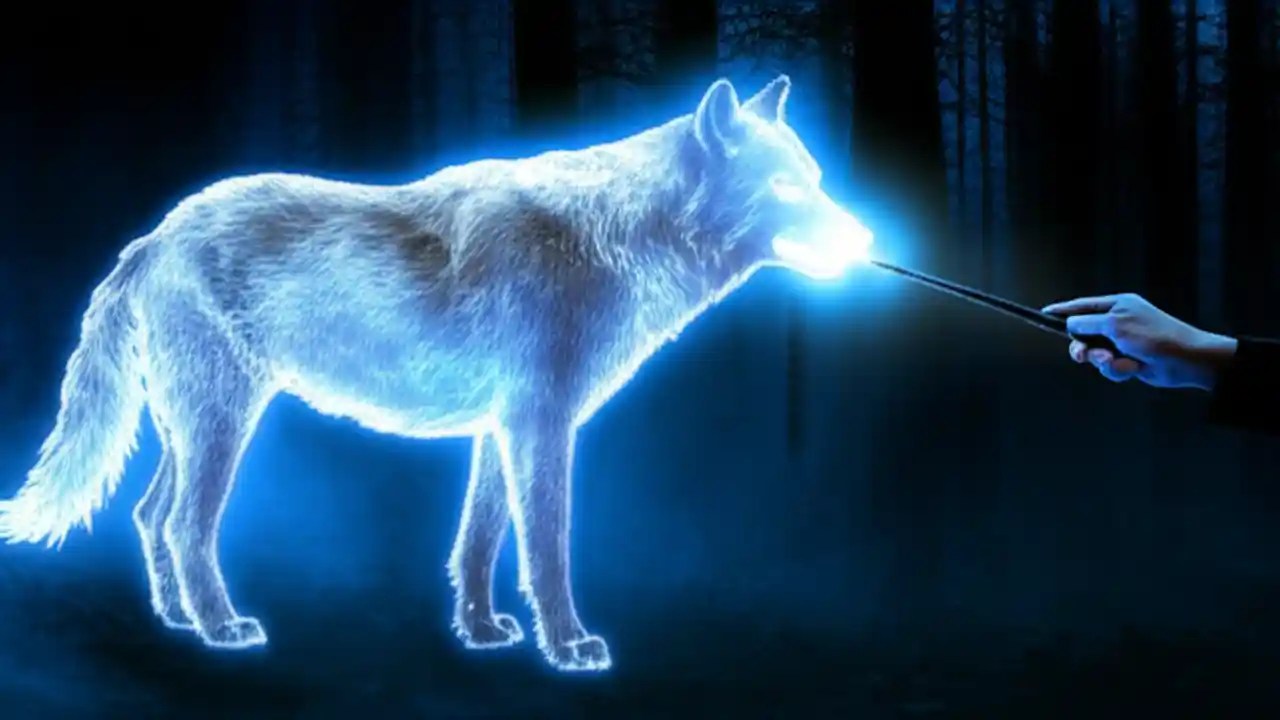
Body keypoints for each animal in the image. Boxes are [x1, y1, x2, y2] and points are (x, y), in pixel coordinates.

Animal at [0, 75, 871, 672]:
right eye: (785, 186)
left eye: (818, 180)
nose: (866, 242)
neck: (613, 238)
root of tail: (150, 240)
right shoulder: (540, 429)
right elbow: (547, 551)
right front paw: (568, 646)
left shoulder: (499, 433)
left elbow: (477, 545)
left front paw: (480, 633)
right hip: (222, 425)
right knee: (185, 526)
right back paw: (221, 628)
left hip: (192, 429)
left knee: (149, 515)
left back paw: (179, 622)